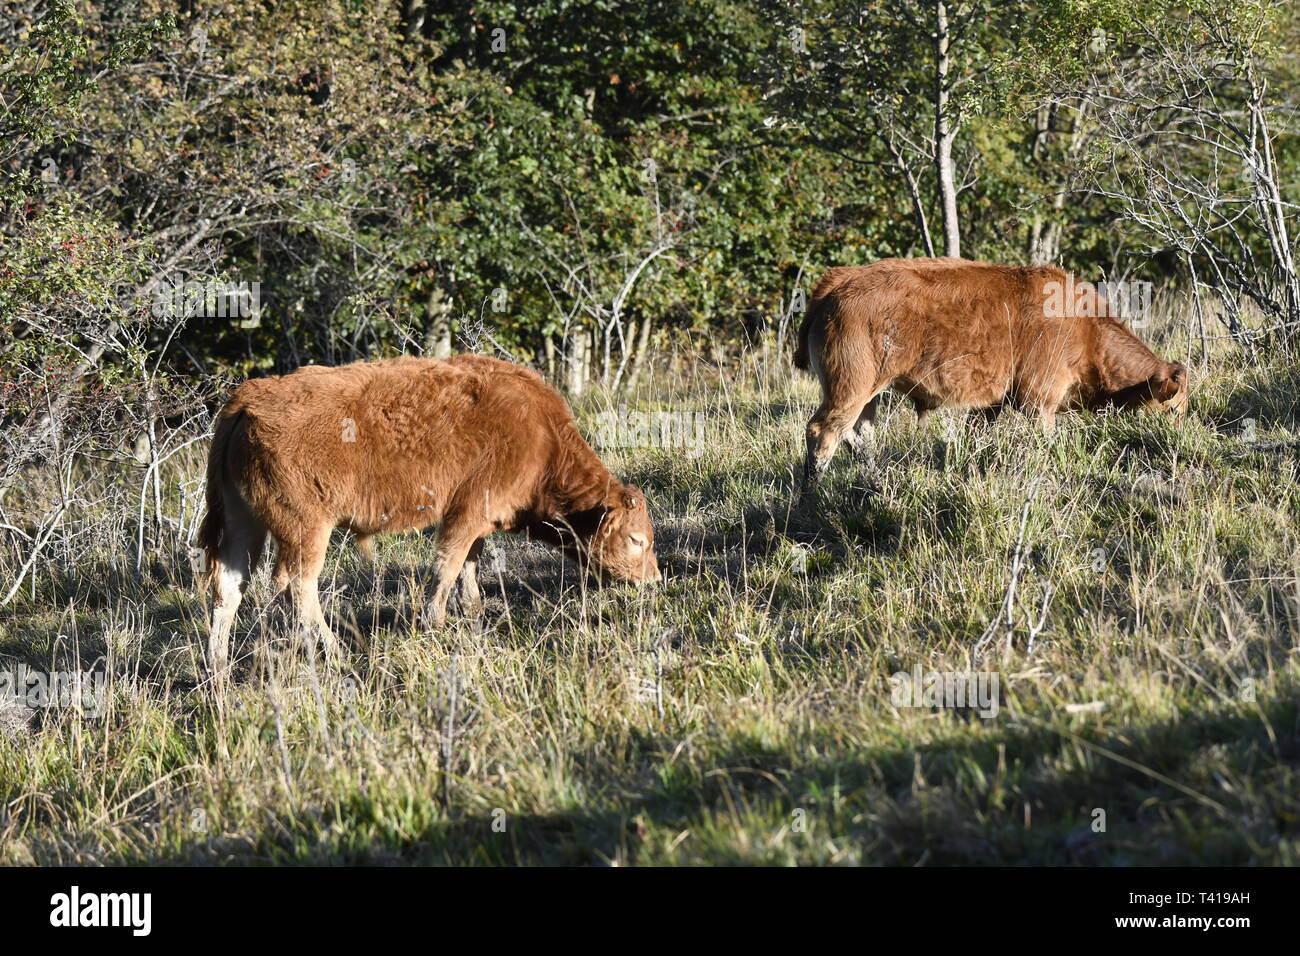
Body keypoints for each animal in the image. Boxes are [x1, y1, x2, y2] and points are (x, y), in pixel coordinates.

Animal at [197, 353, 660, 678]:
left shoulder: (478, 524)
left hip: (244, 523)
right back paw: (337, 651)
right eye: (637, 539)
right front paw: (434, 622)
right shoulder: (466, 514)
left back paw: (218, 665)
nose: (654, 579)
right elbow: (447, 566)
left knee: (229, 587)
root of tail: (248, 398)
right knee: (297, 585)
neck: (542, 437)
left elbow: (469, 569)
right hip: (307, 529)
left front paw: (473, 614)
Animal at [793, 257, 1189, 489]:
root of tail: (839, 281)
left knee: (860, 436)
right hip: (851, 389)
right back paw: (812, 499)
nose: (1177, 441)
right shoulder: (1039, 402)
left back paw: (874, 484)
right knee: (823, 433)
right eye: (1172, 408)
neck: (1086, 328)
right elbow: (1046, 445)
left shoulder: (989, 407)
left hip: (868, 395)